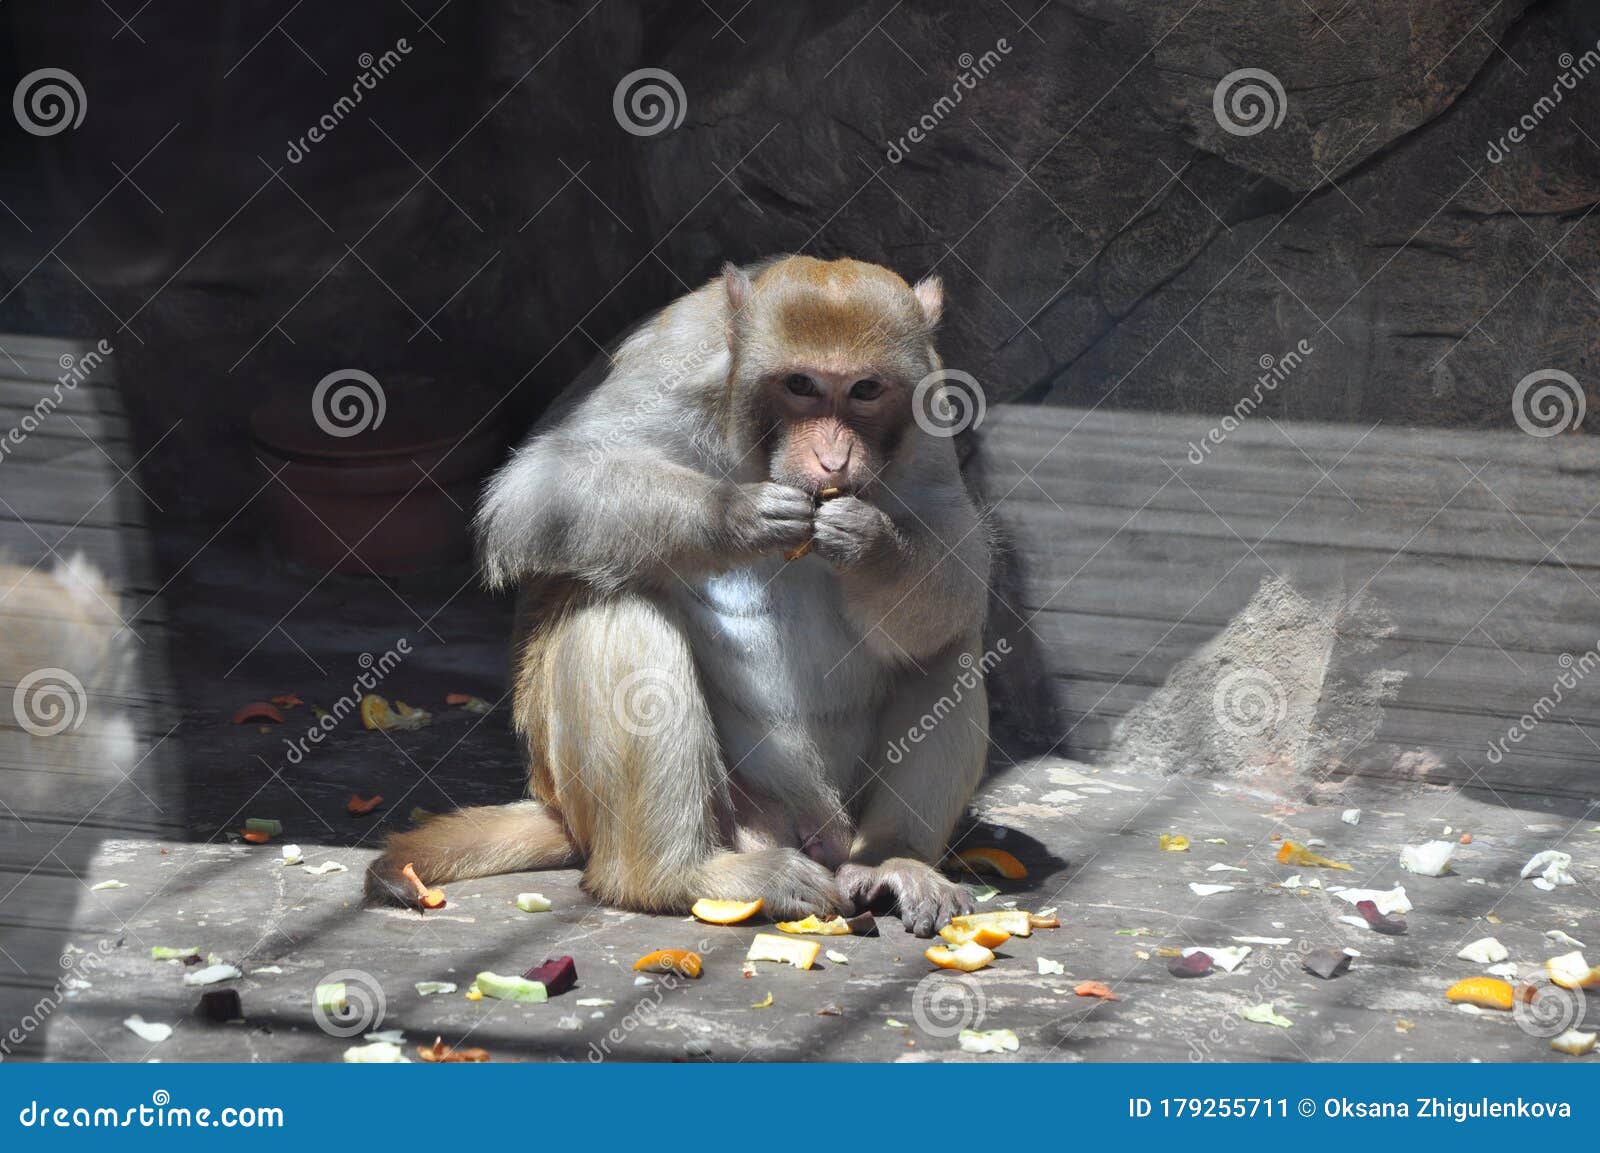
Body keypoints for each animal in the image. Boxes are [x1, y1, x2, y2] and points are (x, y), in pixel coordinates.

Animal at [365, 255, 993, 936]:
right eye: (800, 384)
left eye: (865, 390)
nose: (832, 461)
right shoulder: (674, 359)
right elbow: (536, 492)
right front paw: (734, 516)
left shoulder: (931, 397)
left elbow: (959, 554)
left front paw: (869, 542)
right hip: (681, 804)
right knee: (613, 603)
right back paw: (674, 876)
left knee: (948, 643)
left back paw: (891, 859)